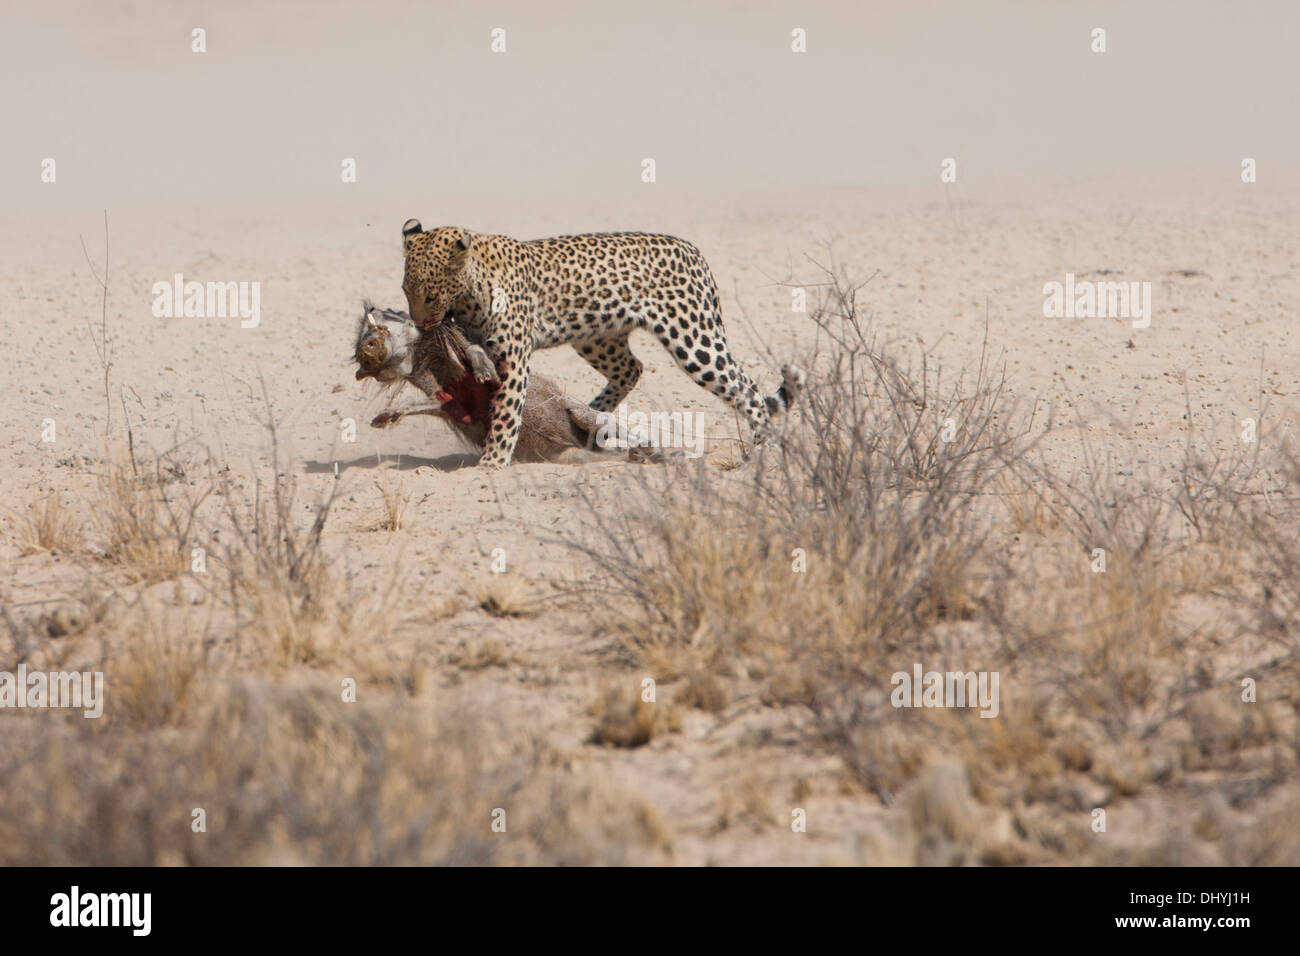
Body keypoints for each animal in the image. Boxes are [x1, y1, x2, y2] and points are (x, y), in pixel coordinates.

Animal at [400, 219, 805, 468]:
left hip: (693, 339)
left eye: (431, 294)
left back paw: (759, 449)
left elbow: (506, 413)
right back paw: (593, 418)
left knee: (746, 387)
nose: (419, 323)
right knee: (631, 369)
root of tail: (692, 250)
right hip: (598, 338)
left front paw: (493, 462)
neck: (468, 294)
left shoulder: (514, 356)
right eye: (406, 290)